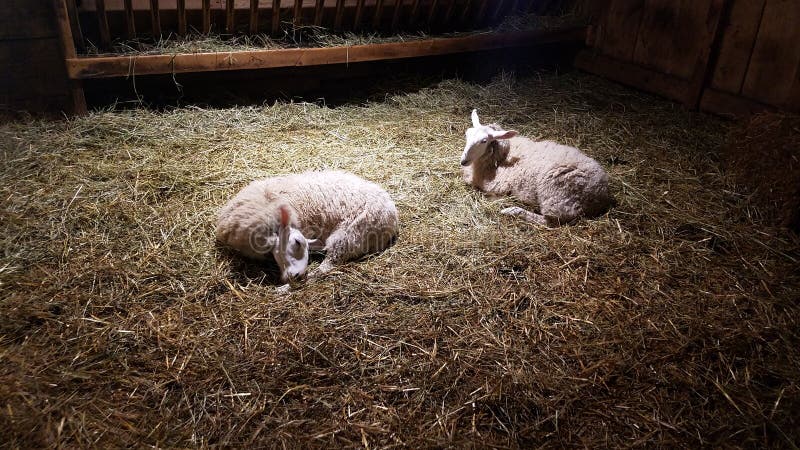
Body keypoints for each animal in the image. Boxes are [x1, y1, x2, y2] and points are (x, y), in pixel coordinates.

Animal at [216, 170, 399, 285]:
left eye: (297, 242)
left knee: (324, 268)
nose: (293, 277)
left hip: (348, 235)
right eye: (273, 254)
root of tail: (392, 215)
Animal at [460, 109, 613, 226]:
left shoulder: (498, 186)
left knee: (550, 221)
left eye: (484, 141)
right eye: (467, 134)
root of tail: (601, 190)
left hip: (556, 194)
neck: (503, 154)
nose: (463, 161)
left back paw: (513, 211)